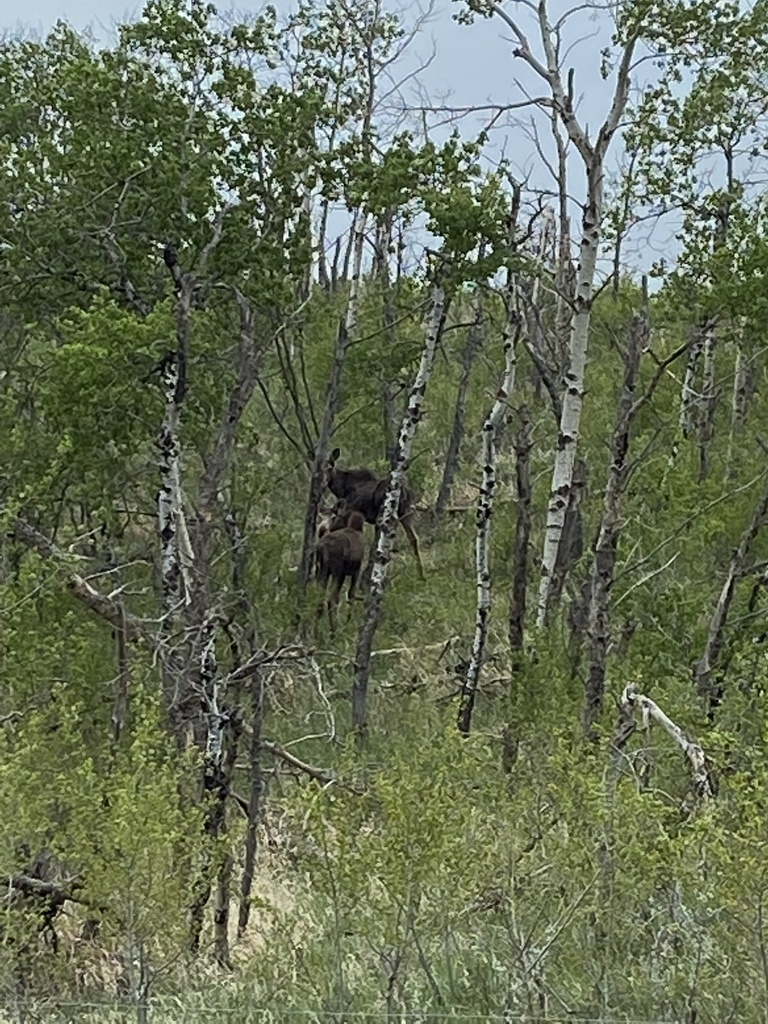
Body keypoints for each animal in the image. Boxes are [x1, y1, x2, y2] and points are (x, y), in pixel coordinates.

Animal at [314, 501, 366, 634]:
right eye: (320, 516)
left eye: (333, 517)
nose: (321, 529)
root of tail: (323, 548)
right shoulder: (355, 571)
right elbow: (351, 595)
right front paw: (347, 625)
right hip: (337, 571)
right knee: (331, 599)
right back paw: (334, 631)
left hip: (321, 569)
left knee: (319, 599)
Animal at [323, 447, 425, 581]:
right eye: (319, 468)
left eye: (330, 468)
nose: (323, 482)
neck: (340, 488)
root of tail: (407, 493)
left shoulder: (349, 512)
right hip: (406, 515)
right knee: (414, 538)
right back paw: (421, 575)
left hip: (387, 516)